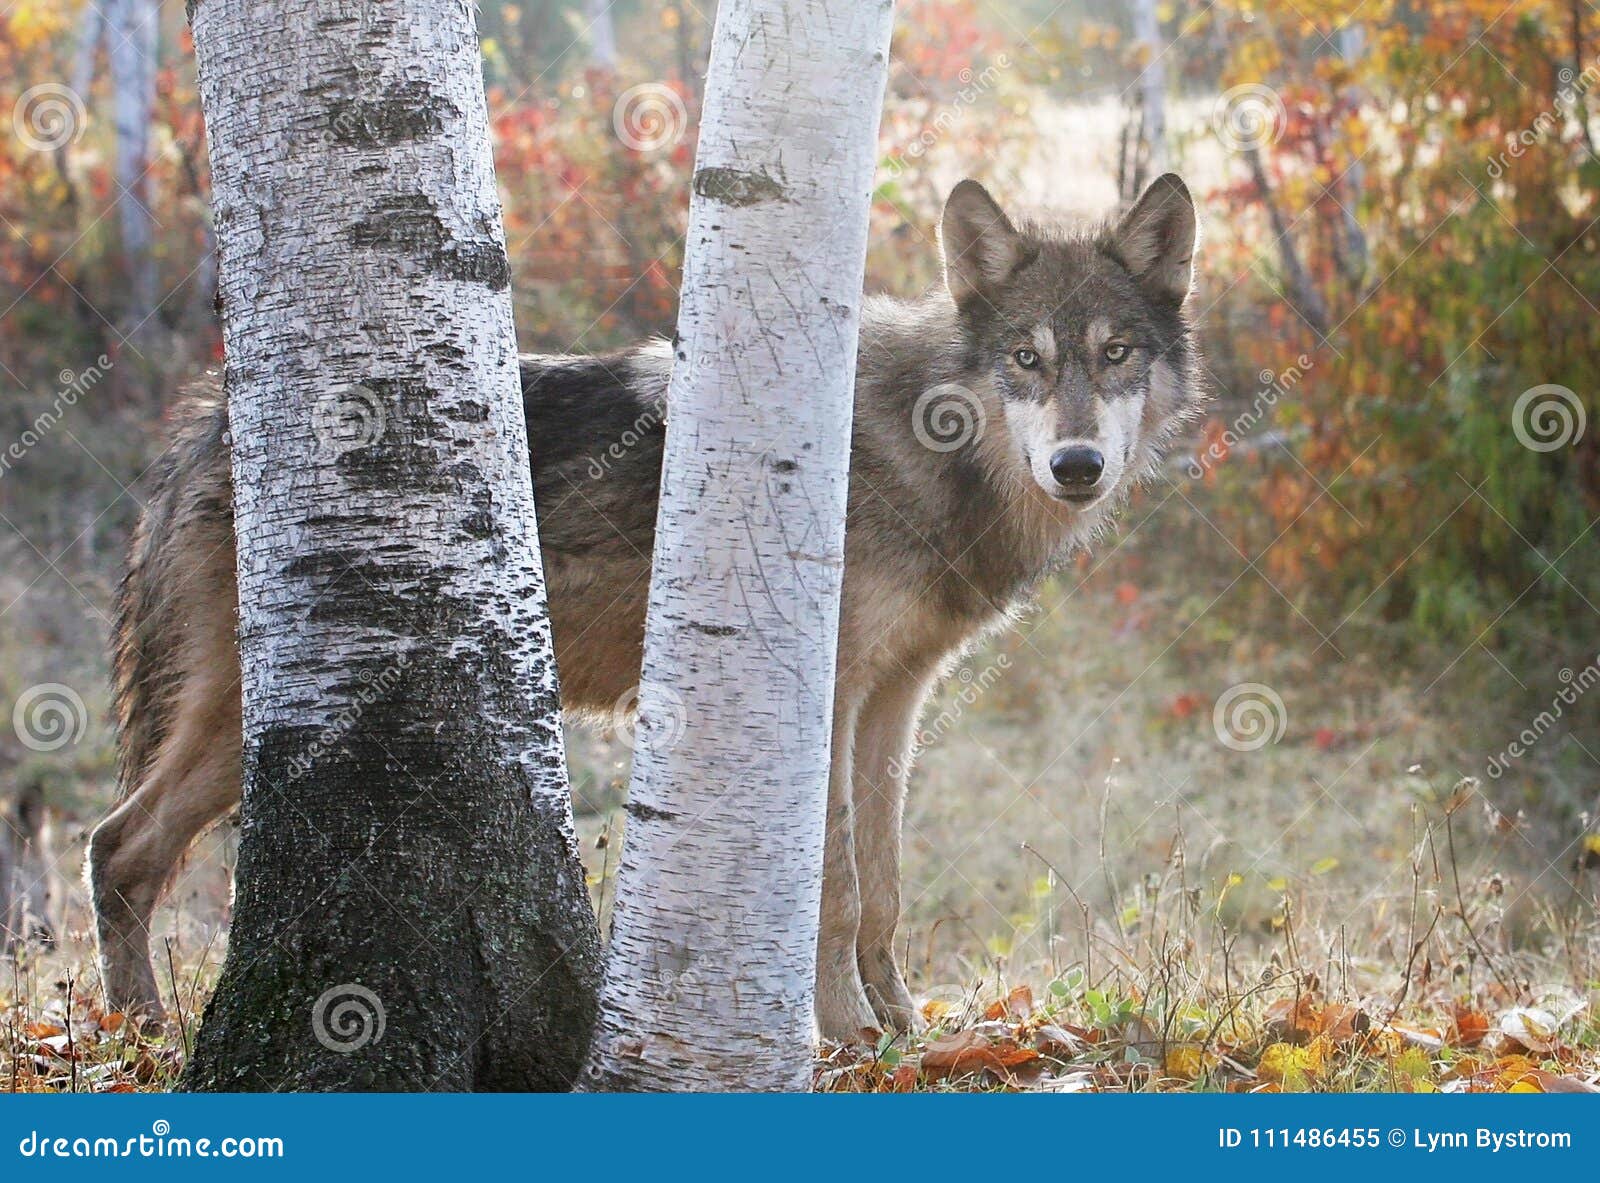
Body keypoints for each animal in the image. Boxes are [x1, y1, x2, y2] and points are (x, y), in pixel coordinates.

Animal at [88, 174, 1203, 1041]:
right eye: (1027, 358)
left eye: (1115, 355)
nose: (1077, 464)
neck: (922, 453)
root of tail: (202, 422)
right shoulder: (830, 696)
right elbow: (838, 889)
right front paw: (846, 1037)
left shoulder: (896, 701)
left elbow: (884, 886)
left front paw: (908, 1033)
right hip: (248, 720)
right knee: (115, 846)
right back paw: (138, 1038)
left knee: (119, 849)